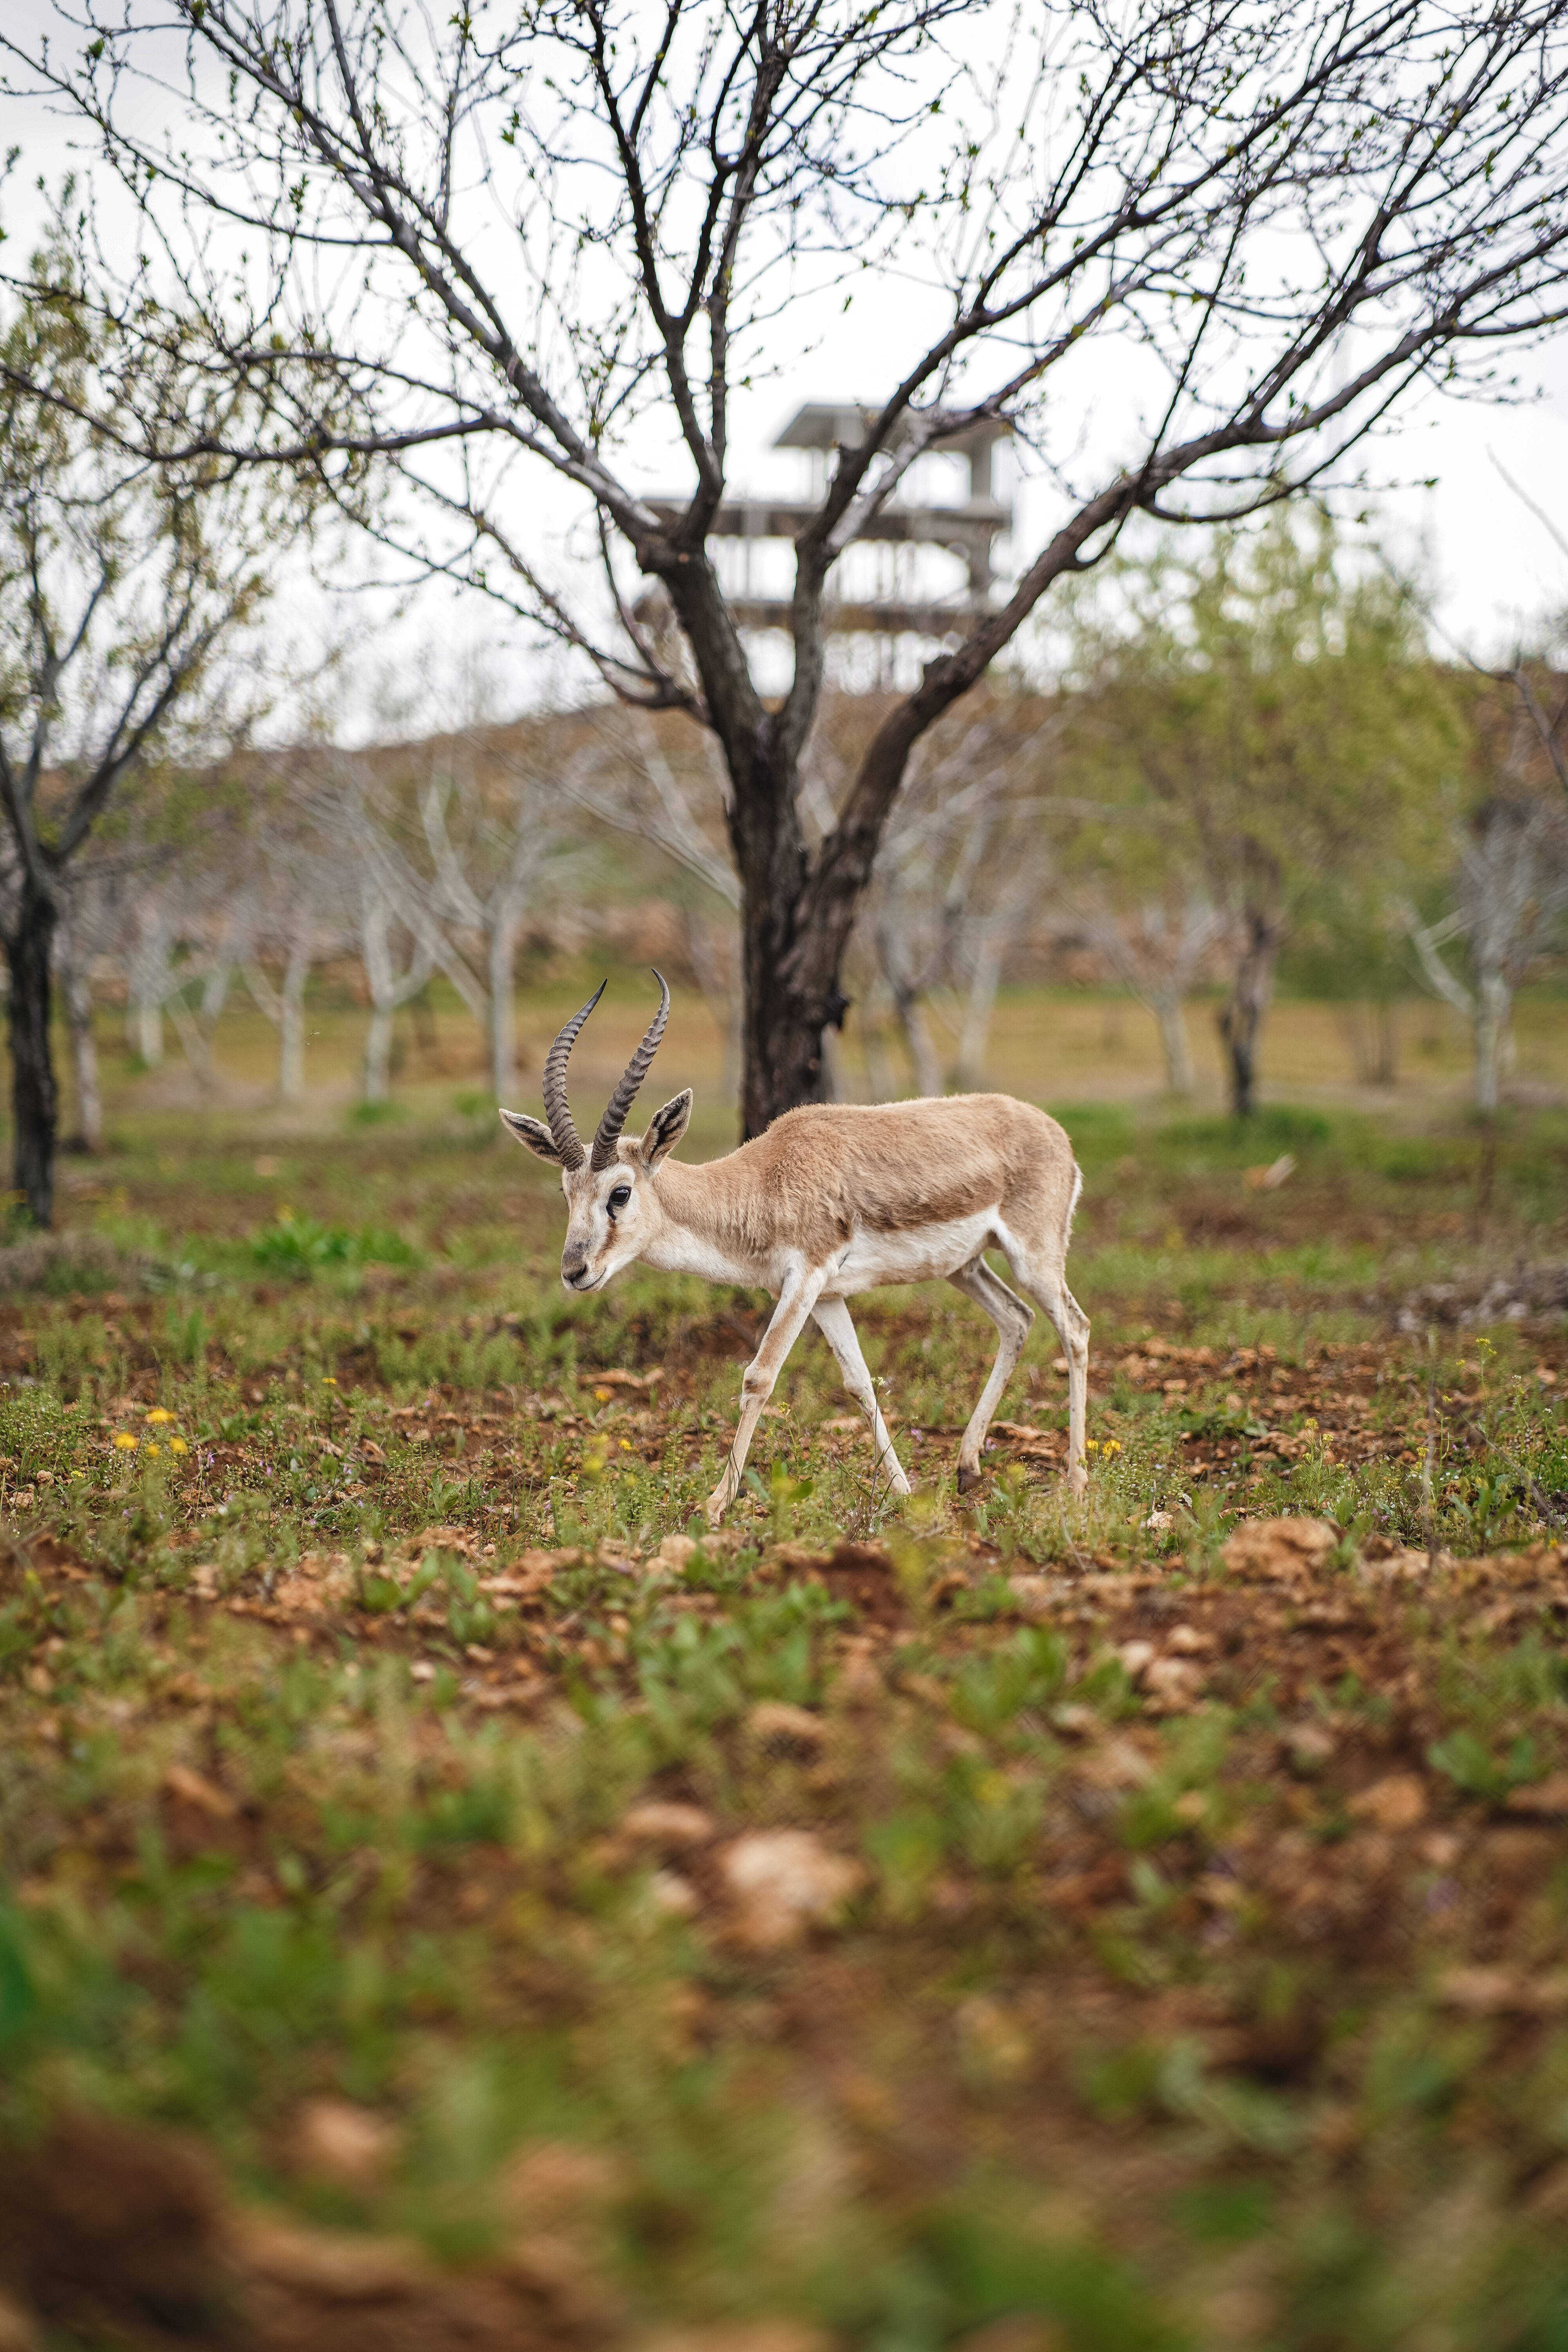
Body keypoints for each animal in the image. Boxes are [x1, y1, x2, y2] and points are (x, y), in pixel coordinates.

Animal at [501, 975, 1089, 1527]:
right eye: (566, 1192)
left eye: (620, 1193)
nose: (575, 1271)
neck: (763, 1182)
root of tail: (1056, 1132)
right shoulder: (827, 1295)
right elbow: (860, 1383)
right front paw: (904, 1494)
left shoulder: (804, 1279)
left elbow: (759, 1375)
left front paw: (715, 1504)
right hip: (966, 1268)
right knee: (1016, 1319)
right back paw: (968, 1469)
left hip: (1034, 1258)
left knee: (1075, 1328)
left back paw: (1076, 1481)